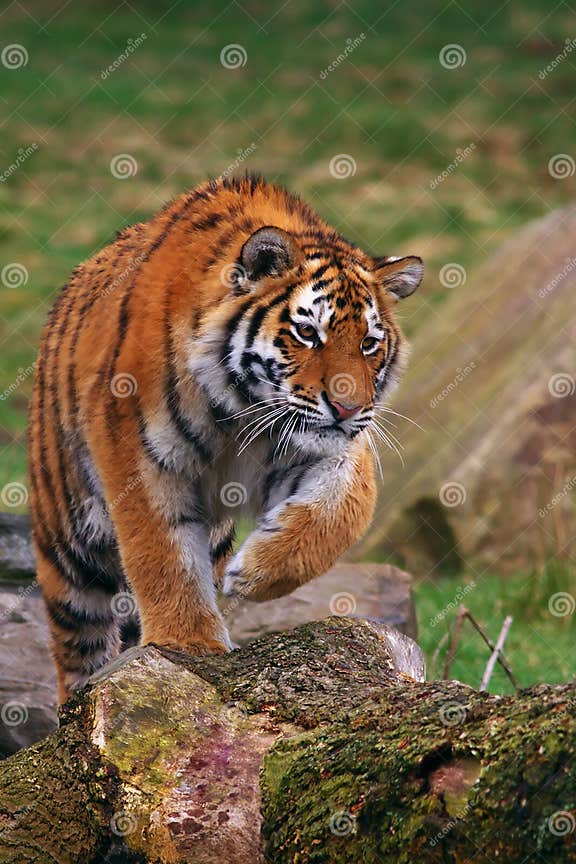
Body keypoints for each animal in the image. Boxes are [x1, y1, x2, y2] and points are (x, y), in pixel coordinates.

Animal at [28, 174, 423, 703]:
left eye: (368, 343)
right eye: (308, 333)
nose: (347, 409)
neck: (241, 409)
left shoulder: (325, 447)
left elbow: (339, 514)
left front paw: (252, 574)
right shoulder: (138, 453)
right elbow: (161, 552)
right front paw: (187, 642)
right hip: (70, 544)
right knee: (78, 646)